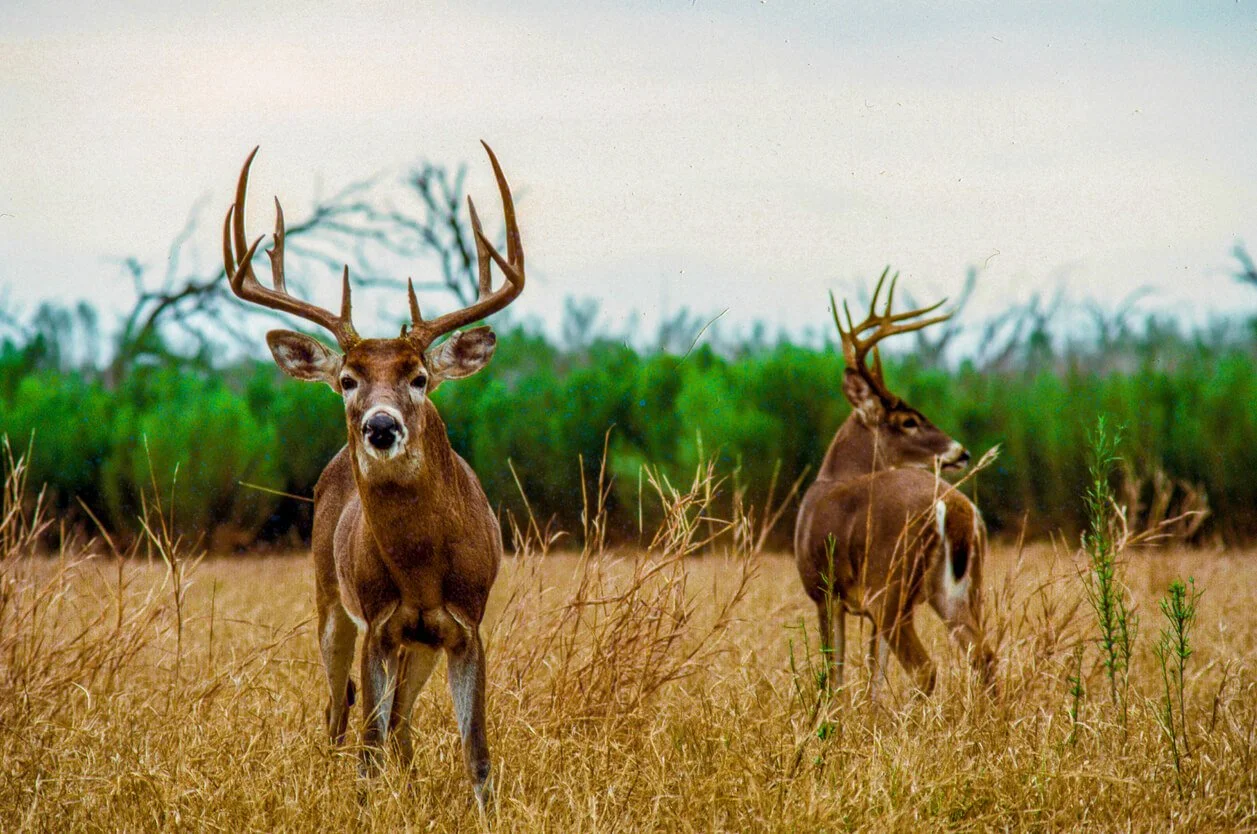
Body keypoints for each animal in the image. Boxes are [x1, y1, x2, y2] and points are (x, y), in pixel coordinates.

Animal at [221, 142, 525, 810]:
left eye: (419, 376)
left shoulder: (467, 625)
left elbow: (478, 753)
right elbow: (368, 748)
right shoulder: (378, 626)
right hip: (329, 602)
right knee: (340, 715)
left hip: (419, 646)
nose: (380, 425)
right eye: (346, 379)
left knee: (403, 723)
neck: (422, 569)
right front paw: (365, 804)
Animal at [794, 271, 994, 698]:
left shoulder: (826, 592)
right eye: (908, 421)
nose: (961, 452)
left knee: (925, 669)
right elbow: (874, 676)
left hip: (889, 586)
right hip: (959, 591)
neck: (832, 477)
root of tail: (954, 508)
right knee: (984, 658)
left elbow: (834, 675)